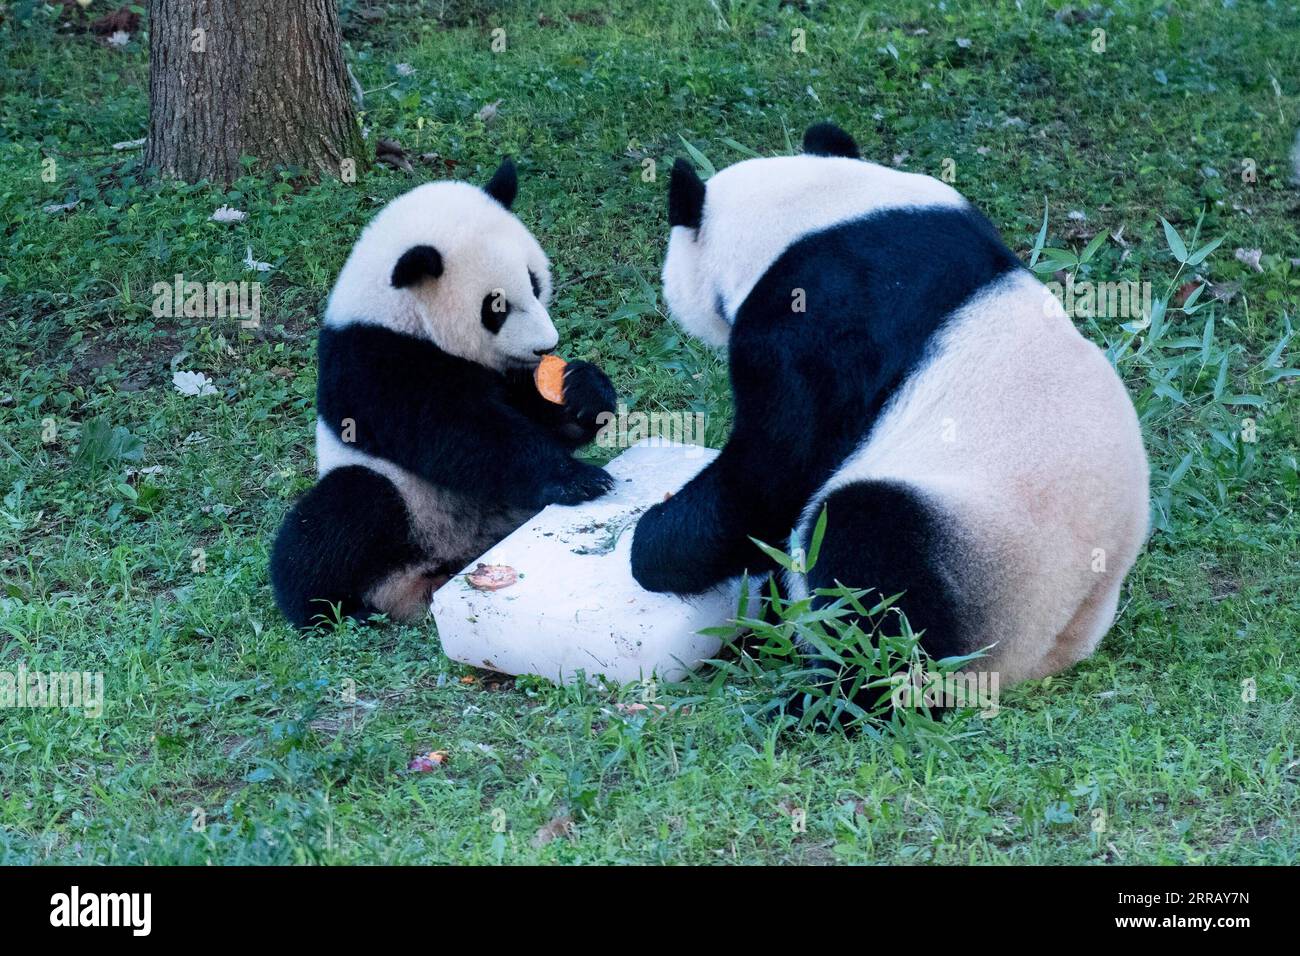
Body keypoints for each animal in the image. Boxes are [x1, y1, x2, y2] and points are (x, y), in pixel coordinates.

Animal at [271, 159, 617, 628]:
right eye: (495, 306)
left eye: (534, 281)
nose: (546, 346)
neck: (400, 312)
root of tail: (431, 576)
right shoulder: (373, 360)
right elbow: (458, 435)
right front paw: (577, 479)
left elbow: (533, 412)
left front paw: (583, 391)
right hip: (405, 503)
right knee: (335, 519)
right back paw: (329, 610)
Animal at [630, 122, 1150, 692]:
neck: (817, 212)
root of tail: (1051, 655)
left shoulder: (814, 323)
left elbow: (776, 471)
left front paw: (649, 547)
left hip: (987, 548)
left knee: (871, 560)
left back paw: (839, 692)